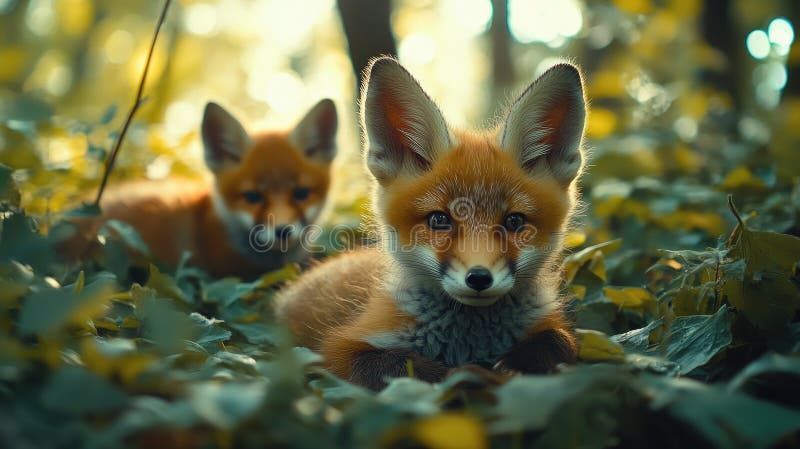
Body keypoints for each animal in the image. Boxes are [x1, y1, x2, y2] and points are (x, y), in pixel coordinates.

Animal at [275, 57, 587, 390]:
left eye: (514, 221)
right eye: (439, 220)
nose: (479, 278)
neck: (468, 340)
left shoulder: (549, 326)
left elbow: (561, 342)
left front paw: (514, 366)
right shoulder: (342, 349)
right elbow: (417, 370)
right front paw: (471, 377)